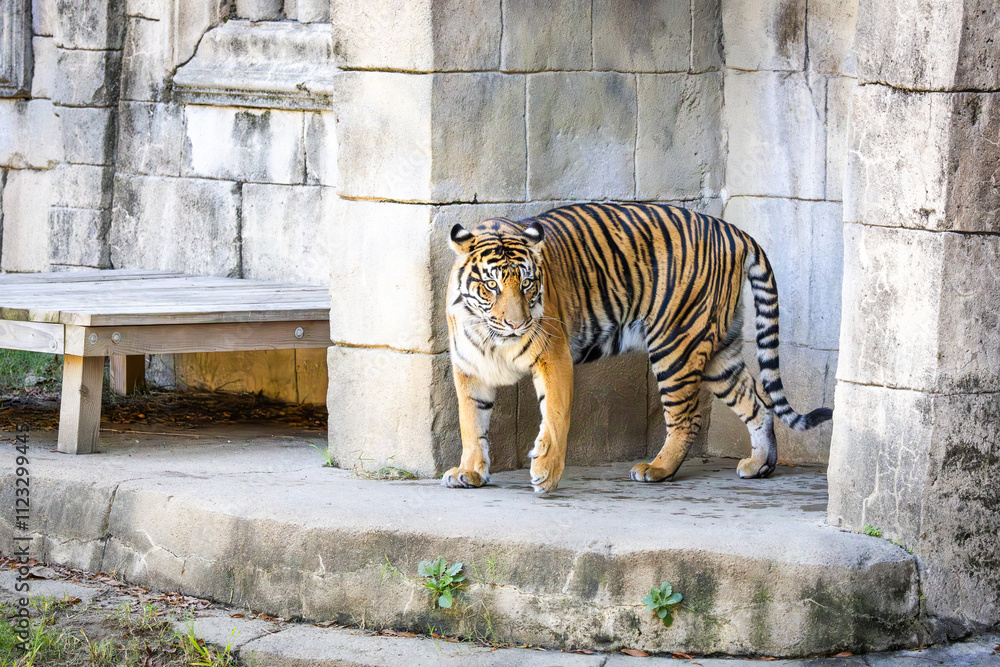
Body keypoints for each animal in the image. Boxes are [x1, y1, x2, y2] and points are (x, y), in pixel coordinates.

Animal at [442, 202, 832, 494]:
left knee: (687, 419)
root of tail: (734, 231)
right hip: (720, 351)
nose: (517, 324)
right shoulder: (469, 367)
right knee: (758, 403)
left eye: (527, 283)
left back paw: (657, 469)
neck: (490, 335)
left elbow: (554, 416)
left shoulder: (554, 356)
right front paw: (470, 472)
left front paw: (545, 474)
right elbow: (470, 422)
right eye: (491, 285)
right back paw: (759, 465)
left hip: (676, 343)